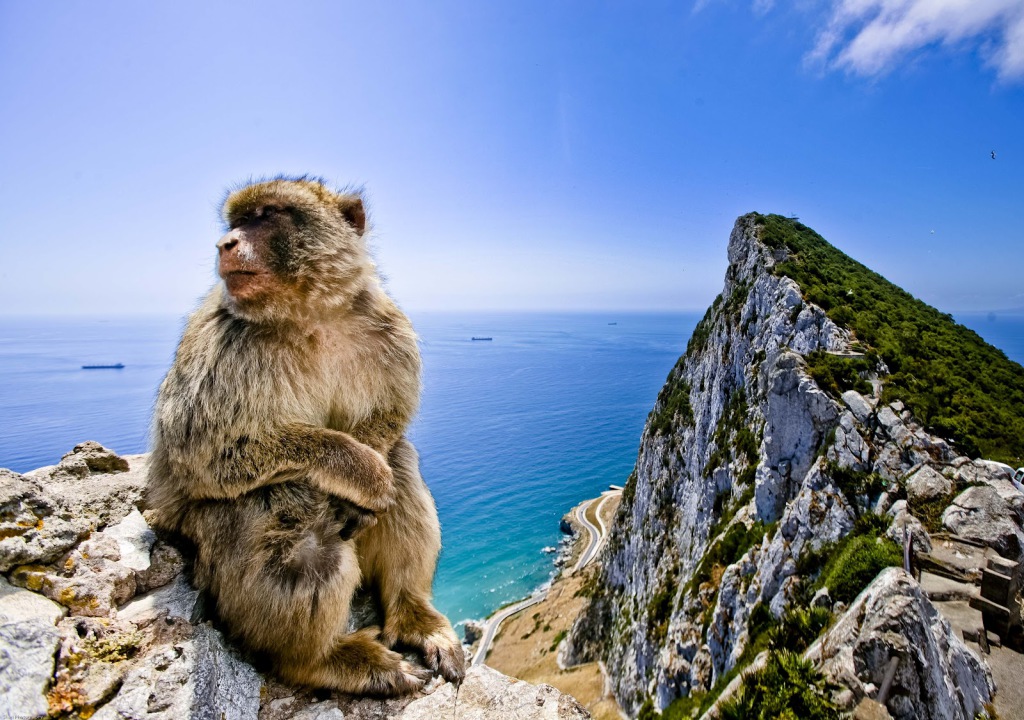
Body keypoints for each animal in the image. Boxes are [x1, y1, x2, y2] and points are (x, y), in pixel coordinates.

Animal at [146, 177, 466, 695]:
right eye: (237, 220)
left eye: (266, 216)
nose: (225, 243)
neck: (309, 313)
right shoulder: (224, 349)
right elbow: (204, 454)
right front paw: (359, 470)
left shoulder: (388, 328)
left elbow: (391, 414)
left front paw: (367, 472)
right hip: (201, 535)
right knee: (293, 522)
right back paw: (319, 660)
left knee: (400, 465)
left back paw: (412, 613)